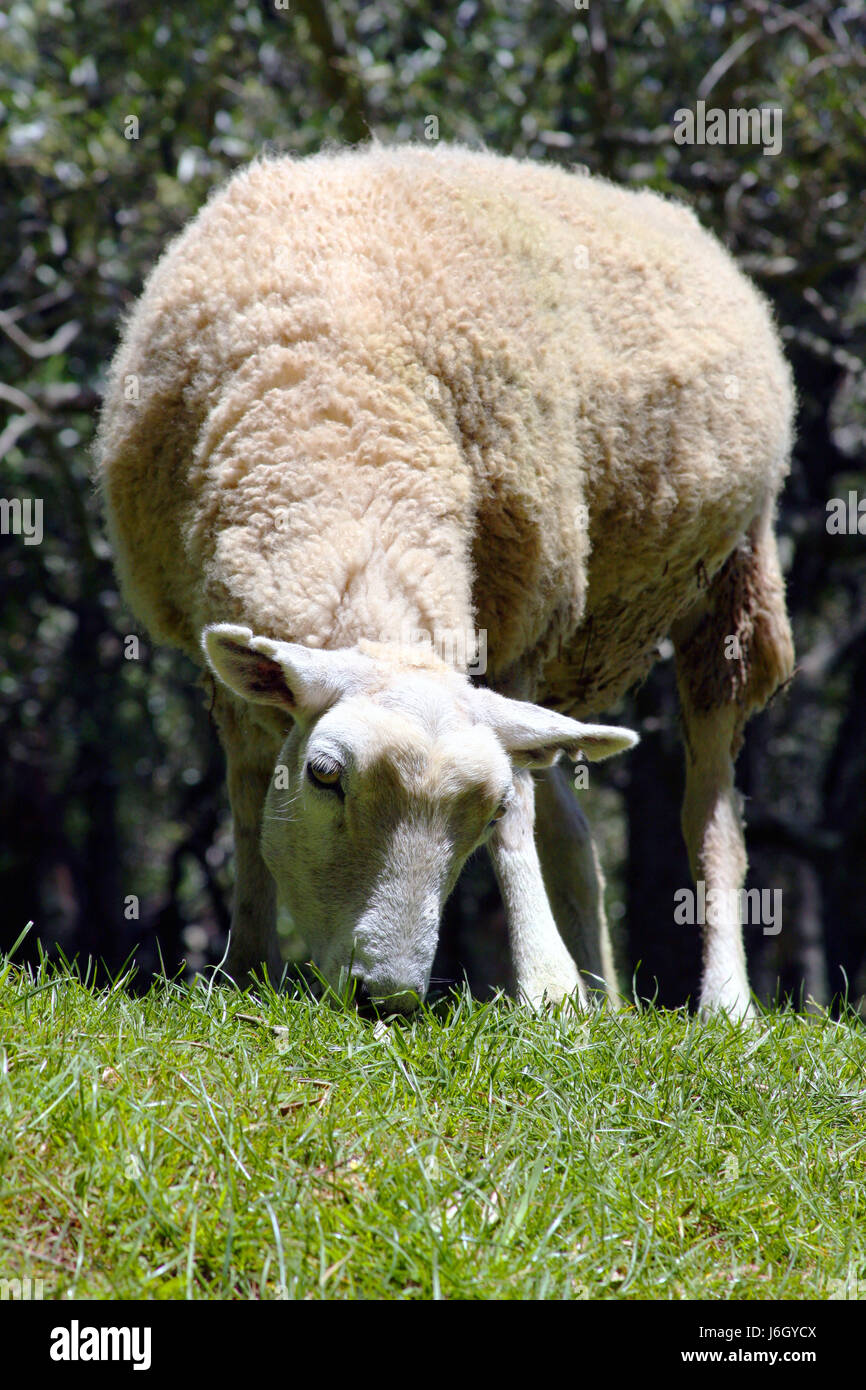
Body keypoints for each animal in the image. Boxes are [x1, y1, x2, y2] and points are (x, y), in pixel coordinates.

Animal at [95, 142, 794, 1018]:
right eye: (325, 777)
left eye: (480, 809)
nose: (388, 997)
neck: (338, 415)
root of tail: (671, 214)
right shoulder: (221, 664)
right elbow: (249, 799)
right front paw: (245, 968)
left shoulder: (522, 626)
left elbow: (522, 818)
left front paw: (548, 990)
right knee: (573, 826)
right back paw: (609, 993)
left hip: (732, 589)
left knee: (711, 816)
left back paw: (723, 1000)